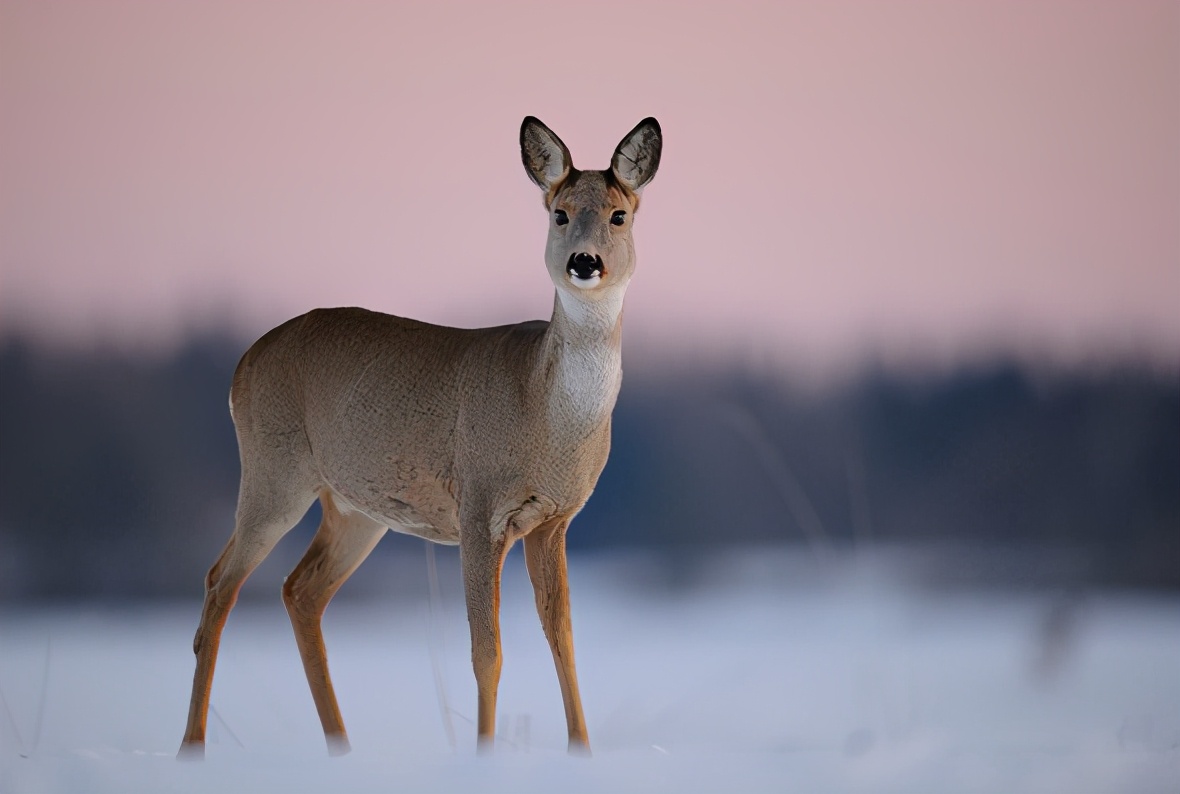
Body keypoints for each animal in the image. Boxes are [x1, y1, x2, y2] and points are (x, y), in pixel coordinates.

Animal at [179, 116, 662, 758]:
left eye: (619, 214)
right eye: (559, 213)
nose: (585, 262)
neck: (544, 409)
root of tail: (243, 364)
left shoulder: (556, 520)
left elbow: (563, 640)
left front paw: (580, 752)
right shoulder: (480, 507)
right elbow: (487, 651)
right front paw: (484, 755)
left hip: (355, 508)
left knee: (299, 590)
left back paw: (341, 747)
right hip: (273, 470)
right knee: (220, 583)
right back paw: (192, 748)